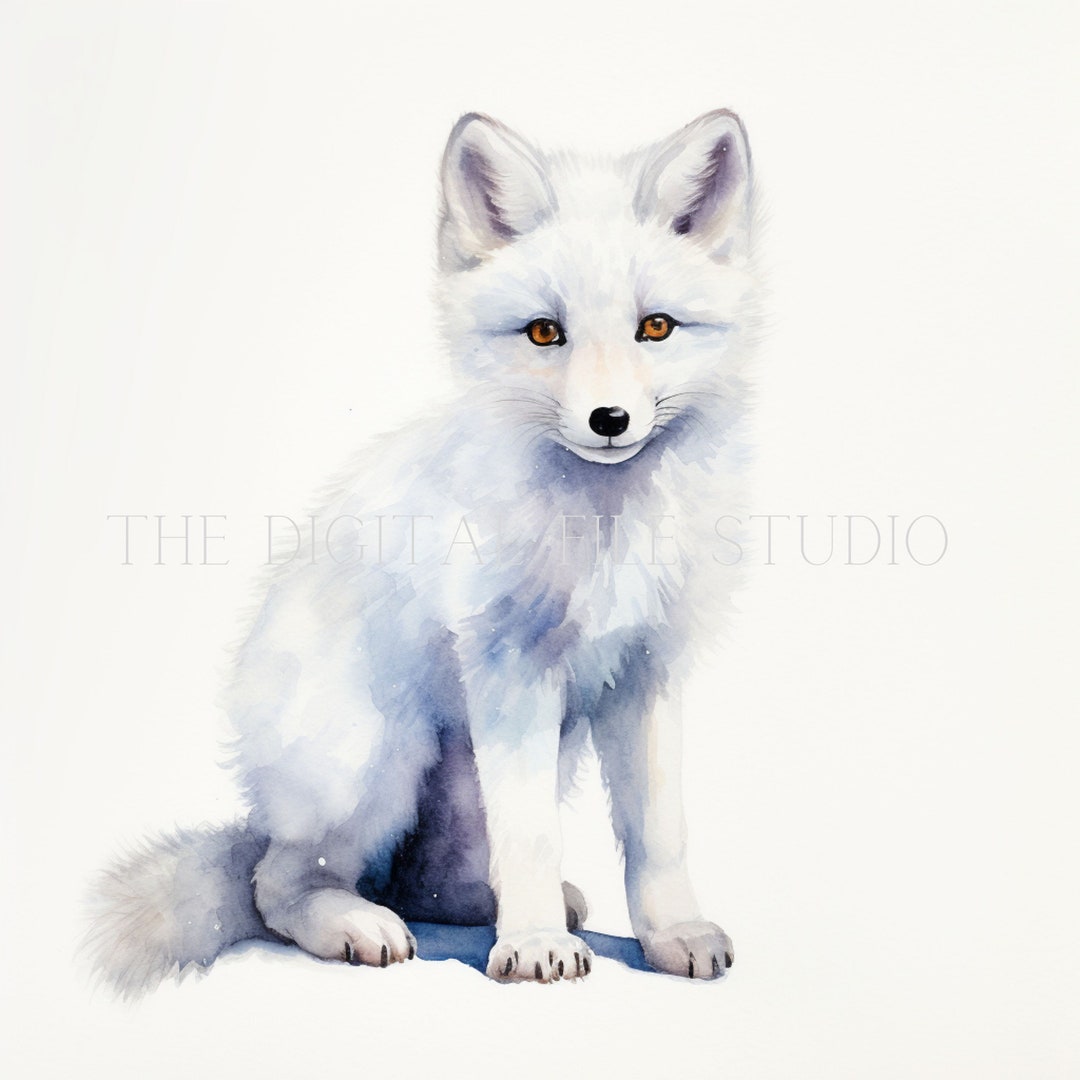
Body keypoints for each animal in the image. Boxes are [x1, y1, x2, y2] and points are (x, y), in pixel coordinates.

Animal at [87, 108, 760, 994]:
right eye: (545, 333)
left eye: (656, 327)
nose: (609, 420)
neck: (604, 528)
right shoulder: (508, 666)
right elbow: (531, 837)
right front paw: (535, 948)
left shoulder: (645, 673)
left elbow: (658, 833)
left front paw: (671, 933)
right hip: (380, 760)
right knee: (281, 884)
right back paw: (361, 924)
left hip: (504, 767)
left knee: (431, 882)